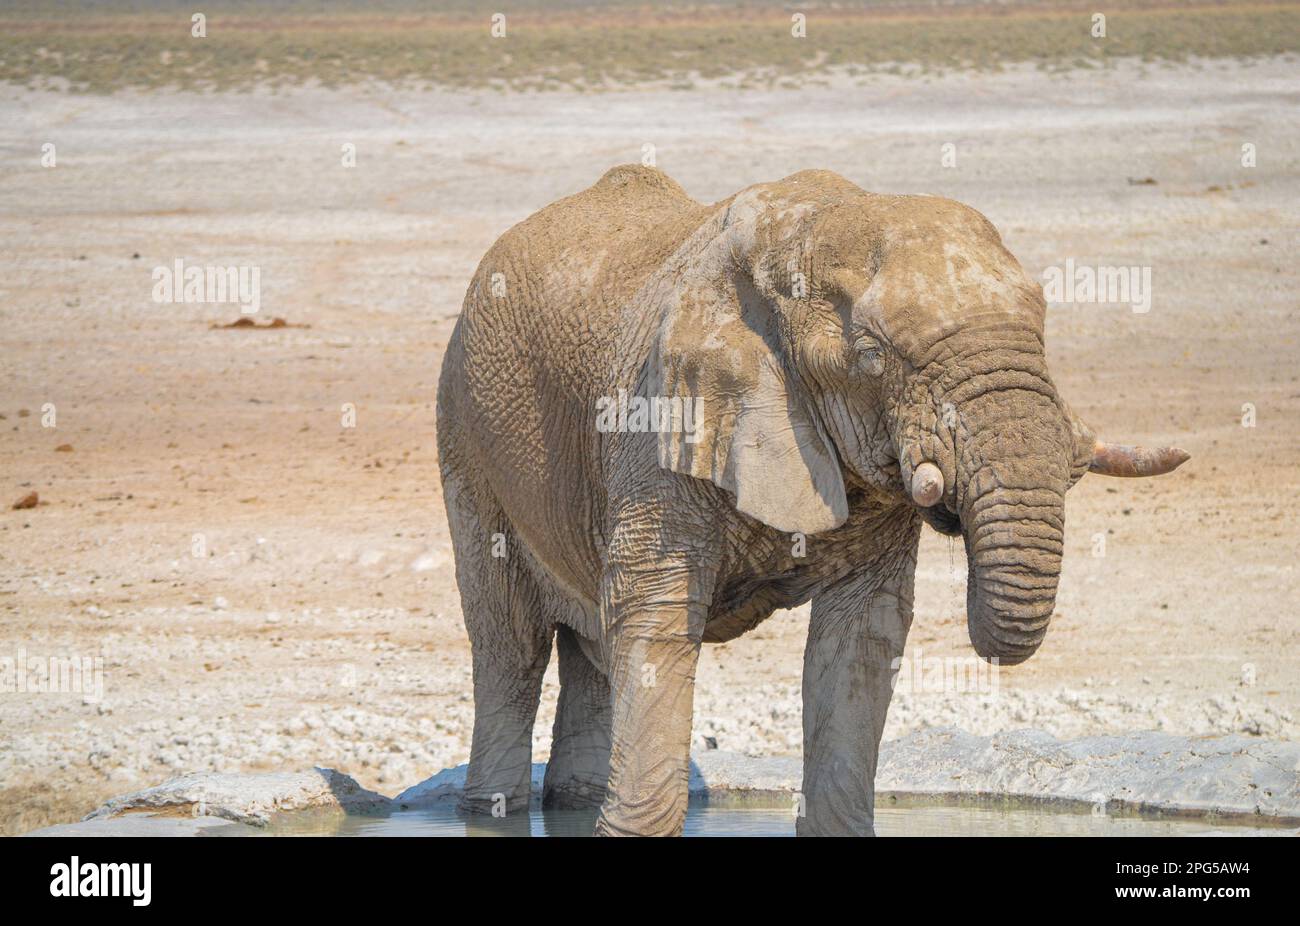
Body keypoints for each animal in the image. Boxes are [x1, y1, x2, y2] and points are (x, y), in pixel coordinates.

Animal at [435, 165, 1189, 836]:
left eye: (1043, 328)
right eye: (873, 354)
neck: (810, 228)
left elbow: (860, 637)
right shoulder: (661, 422)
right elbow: (654, 619)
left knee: (585, 648)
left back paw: (572, 800)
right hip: (466, 438)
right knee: (511, 647)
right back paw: (492, 808)